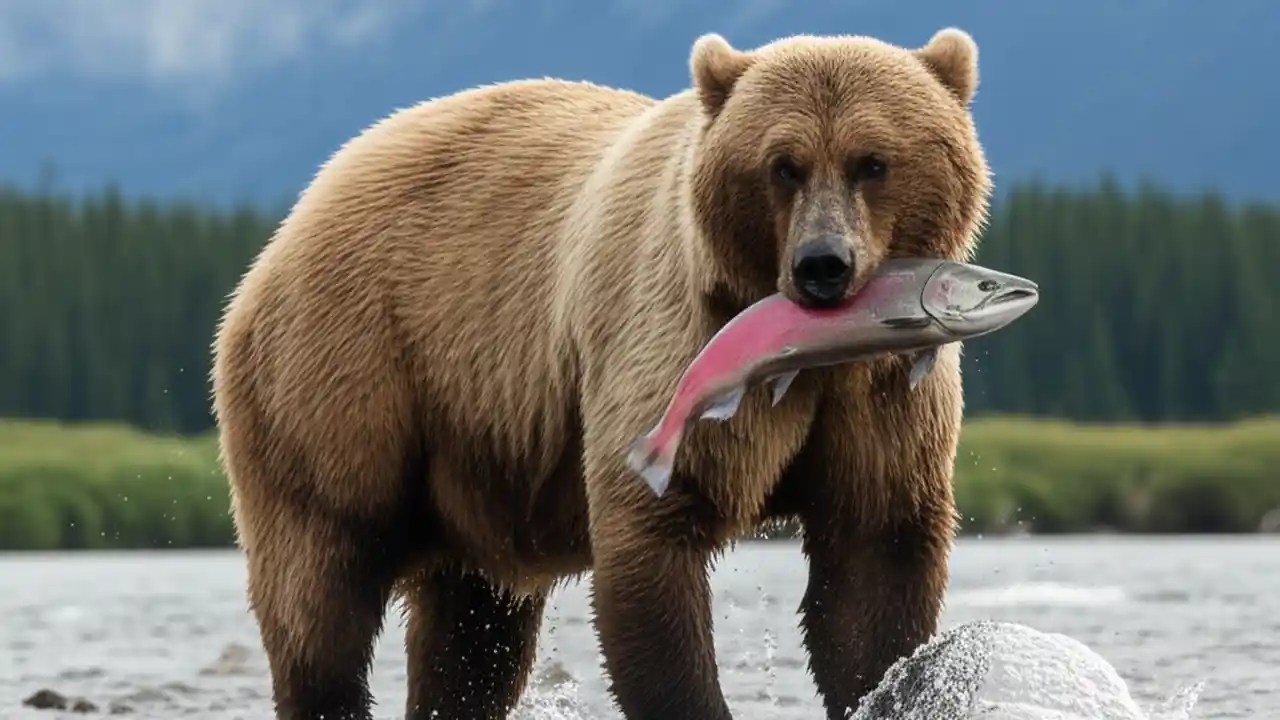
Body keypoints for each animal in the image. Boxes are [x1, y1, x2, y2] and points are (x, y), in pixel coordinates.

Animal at [212, 27, 990, 720]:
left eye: (872, 160)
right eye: (782, 164)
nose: (822, 264)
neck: (817, 357)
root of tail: (293, 220)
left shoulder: (882, 398)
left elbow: (874, 561)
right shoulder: (670, 343)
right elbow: (654, 545)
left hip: (470, 454)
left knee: (474, 636)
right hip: (345, 369)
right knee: (323, 584)